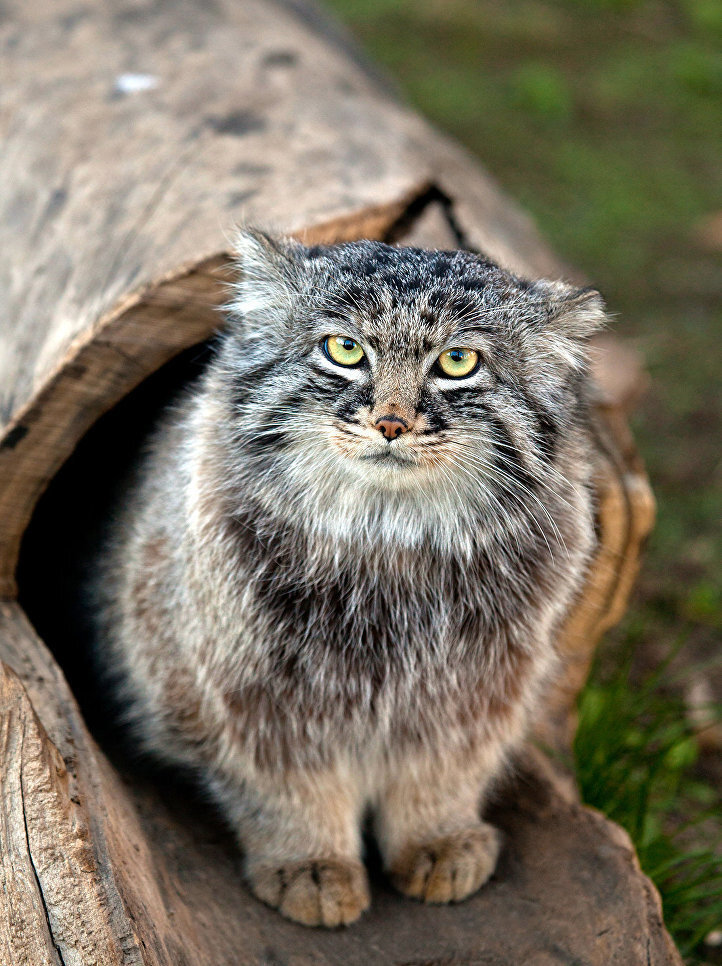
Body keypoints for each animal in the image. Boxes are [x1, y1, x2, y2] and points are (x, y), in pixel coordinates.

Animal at [91, 229, 600, 932]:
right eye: (345, 349)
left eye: (458, 361)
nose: (391, 423)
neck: (387, 547)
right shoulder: (244, 692)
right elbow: (286, 787)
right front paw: (309, 862)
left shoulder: (476, 688)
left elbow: (442, 769)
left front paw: (437, 836)